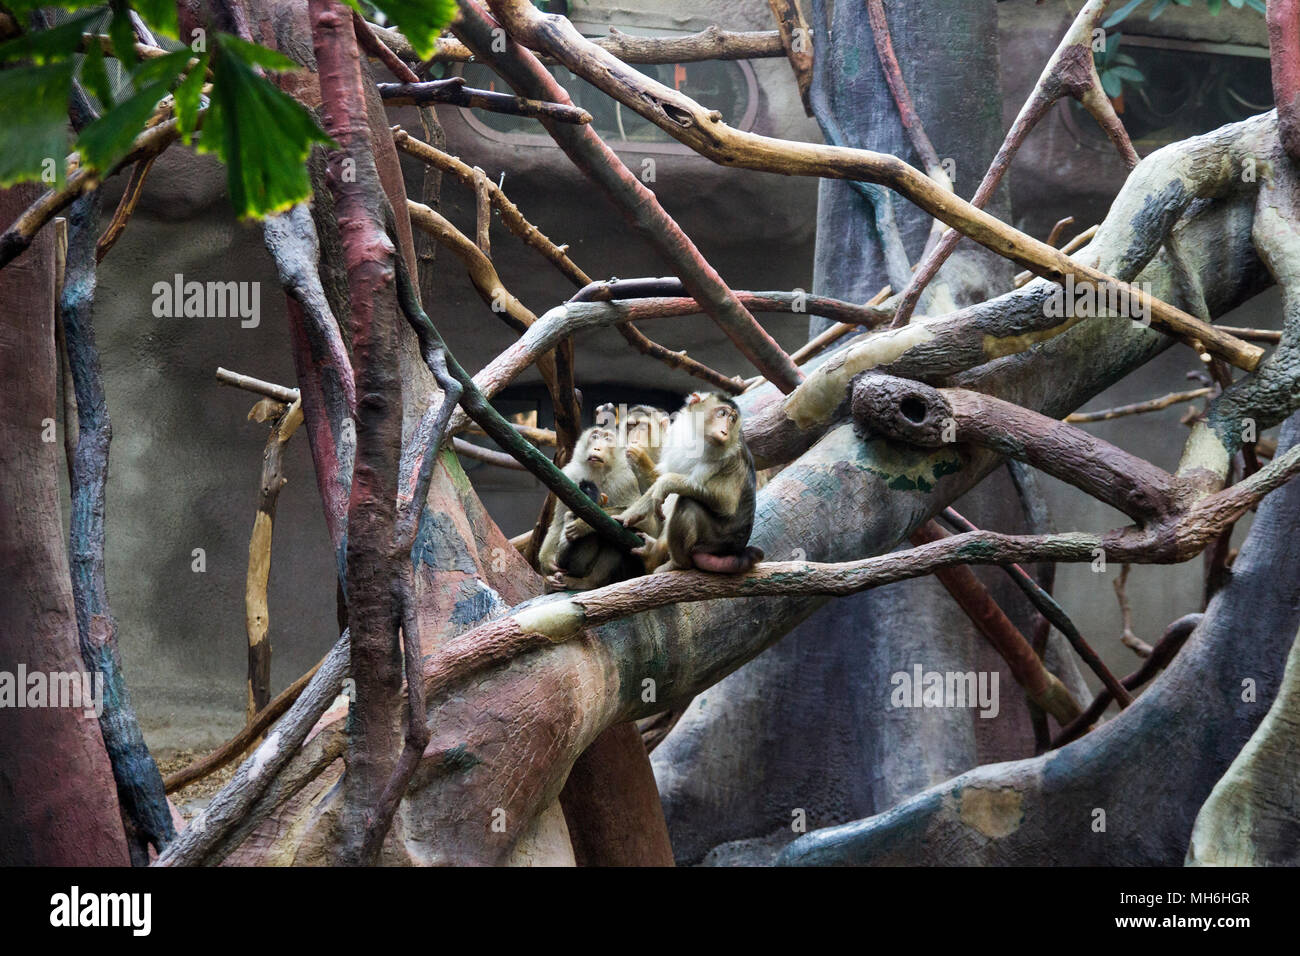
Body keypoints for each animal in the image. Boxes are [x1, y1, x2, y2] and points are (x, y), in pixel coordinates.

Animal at [619, 392, 764, 574]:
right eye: (722, 414)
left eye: (732, 419)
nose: (724, 431)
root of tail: (733, 550)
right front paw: (629, 515)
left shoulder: (730, 456)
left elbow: (725, 502)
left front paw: (666, 483)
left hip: (713, 543)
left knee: (687, 502)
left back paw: (676, 563)